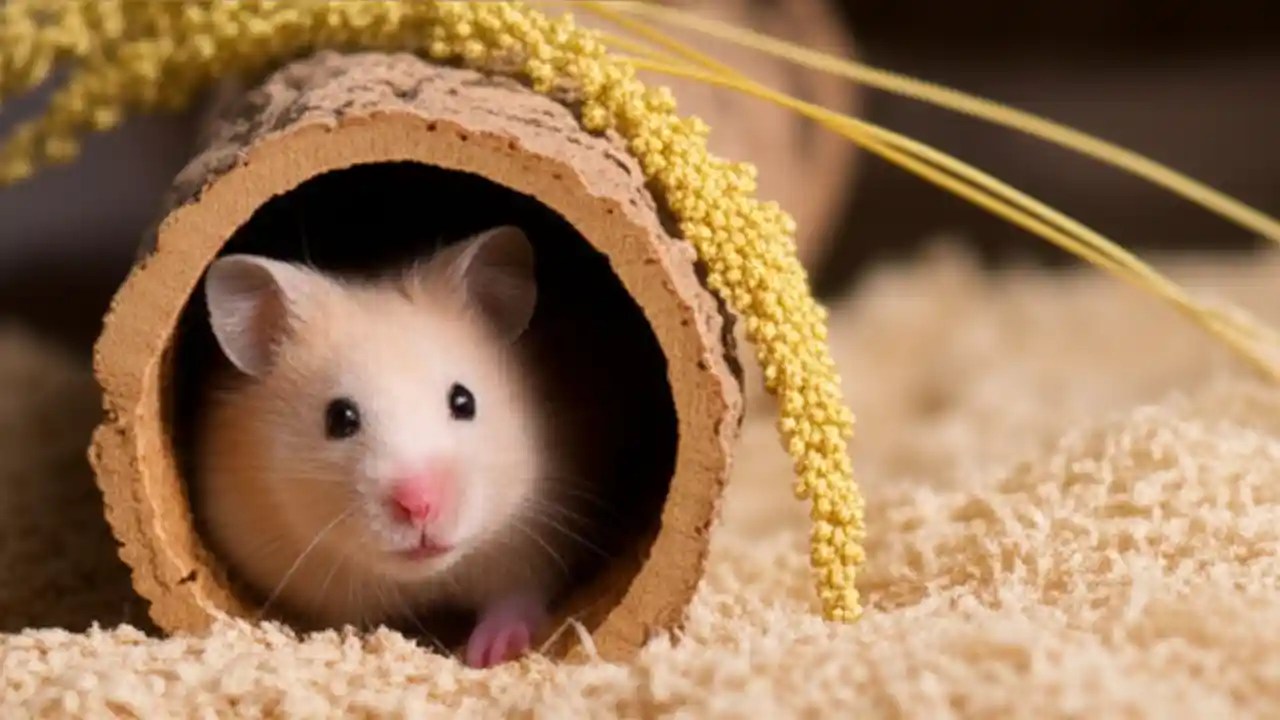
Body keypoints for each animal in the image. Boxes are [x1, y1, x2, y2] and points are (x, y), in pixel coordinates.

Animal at [193, 225, 605, 668]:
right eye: (340, 418)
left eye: (464, 401)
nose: (420, 506)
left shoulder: (533, 541)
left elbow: (516, 597)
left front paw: (488, 654)